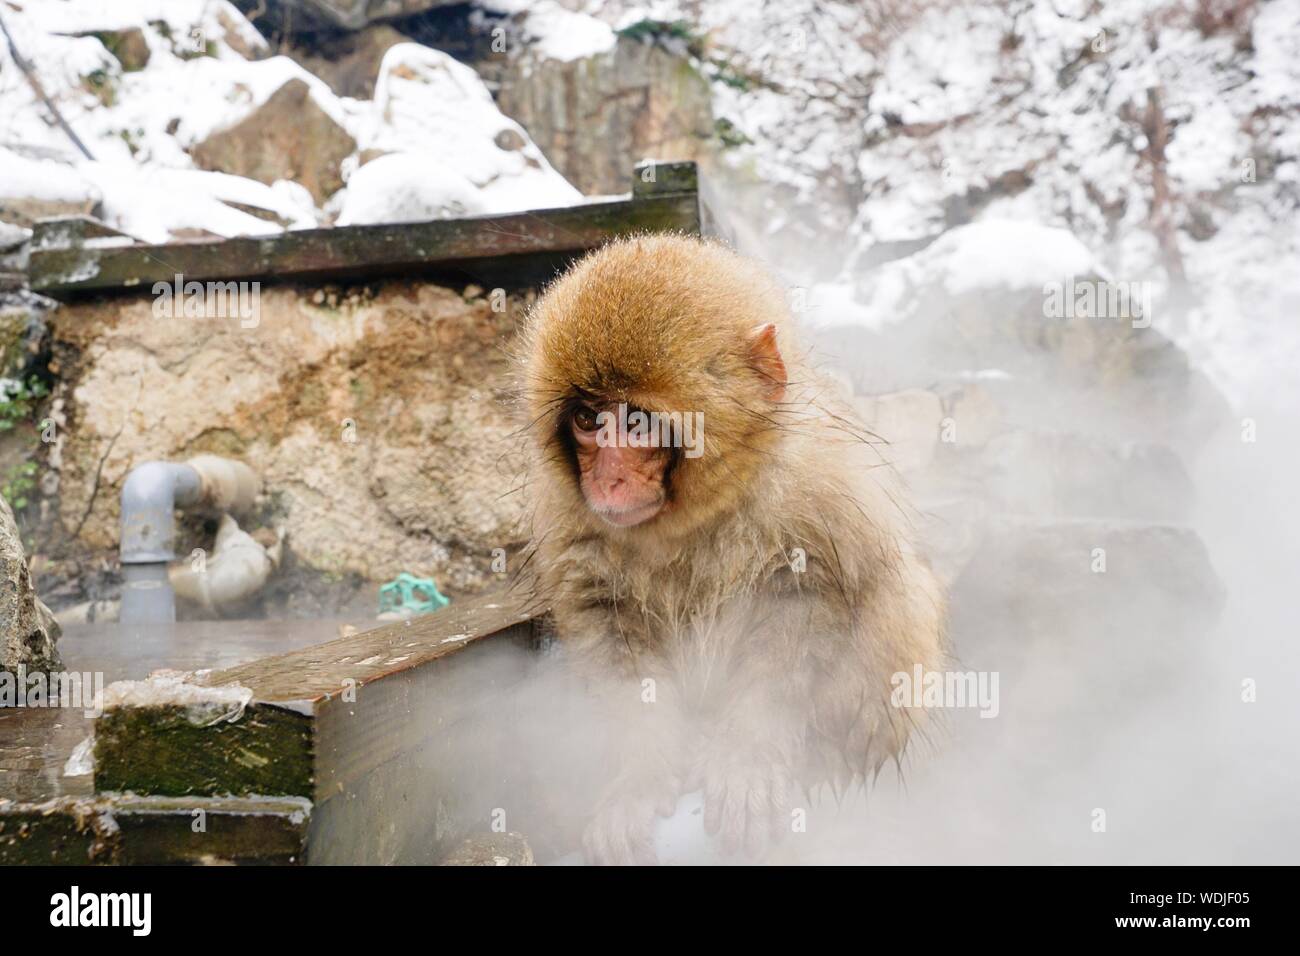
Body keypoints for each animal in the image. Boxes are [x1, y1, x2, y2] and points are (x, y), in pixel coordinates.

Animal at [518, 233, 948, 864]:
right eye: (589, 419)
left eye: (638, 422)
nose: (608, 480)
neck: (693, 517)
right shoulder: (574, 525)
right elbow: (609, 630)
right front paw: (640, 777)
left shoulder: (815, 490)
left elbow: (804, 608)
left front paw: (749, 757)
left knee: (899, 594)